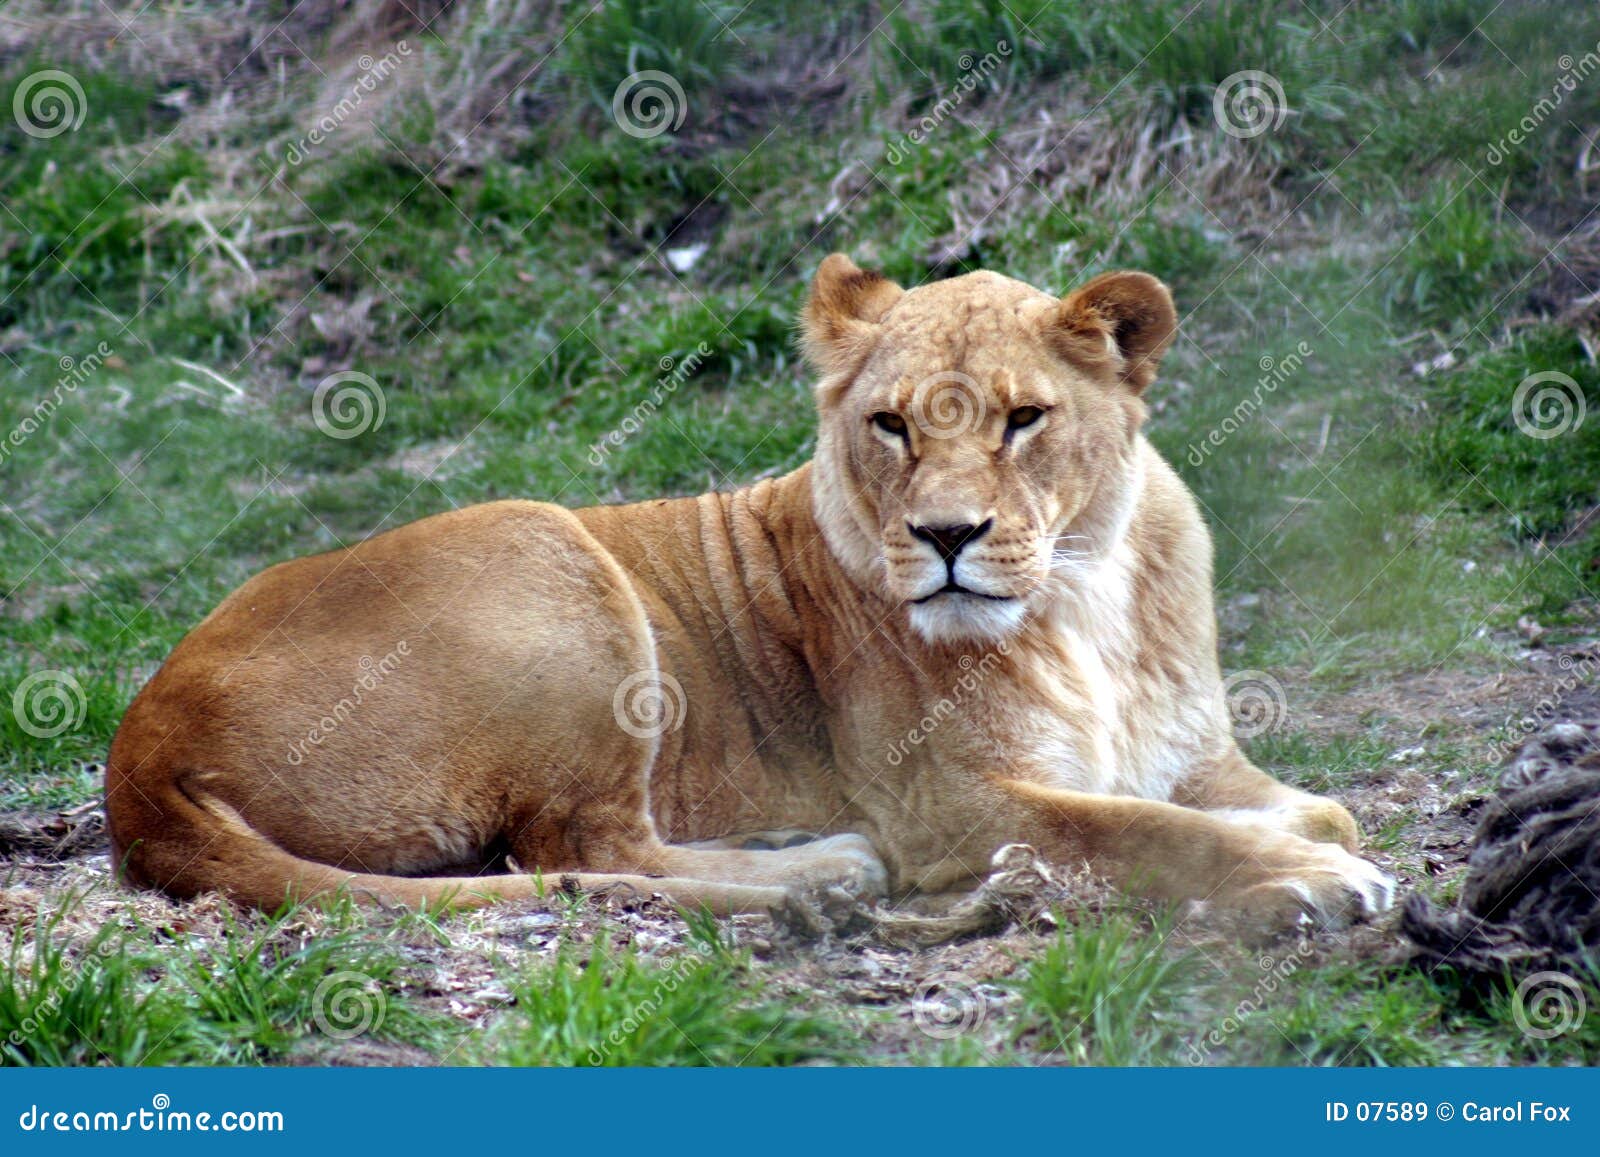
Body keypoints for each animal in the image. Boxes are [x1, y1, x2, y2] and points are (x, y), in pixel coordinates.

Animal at [105, 255, 1394, 931]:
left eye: (1025, 418)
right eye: (891, 424)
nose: (946, 536)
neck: (1085, 594)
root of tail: (139, 745)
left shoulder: (1192, 752)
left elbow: (1307, 803)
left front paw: (1308, 839)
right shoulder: (943, 802)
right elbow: (1135, 827)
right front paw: (1302, 878)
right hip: (545, 547)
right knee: (577, 843)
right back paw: (819, 868)